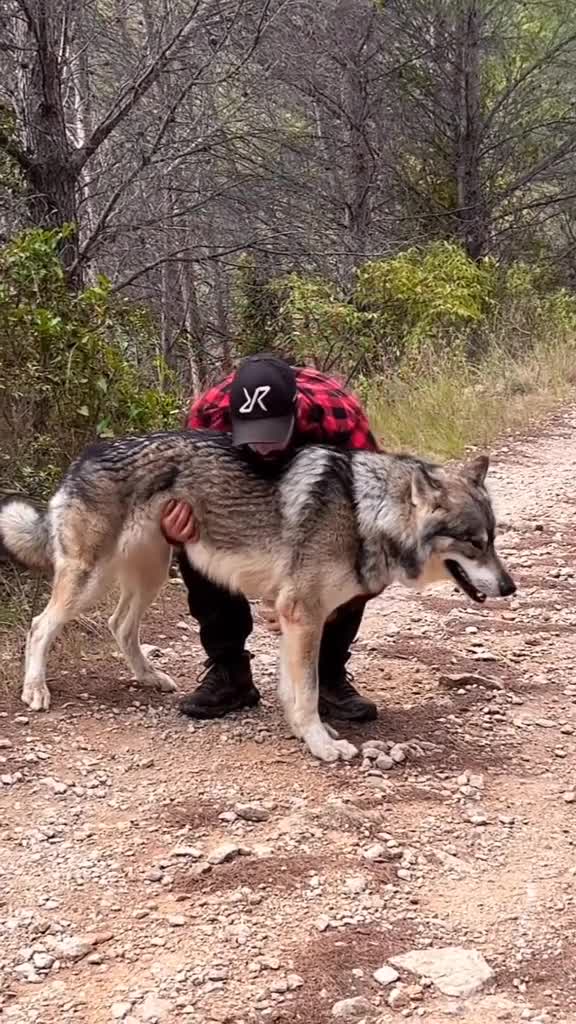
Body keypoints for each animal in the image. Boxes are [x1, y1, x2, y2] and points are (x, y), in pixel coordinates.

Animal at [0, 430, 515, 763]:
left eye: (493, 539)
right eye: (474, 543)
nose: (511, 587)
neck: (365, 511)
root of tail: (83, 456)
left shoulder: (301, 618)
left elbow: (297, 689)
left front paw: (308, 733)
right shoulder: (303, 614)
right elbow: (306, 692)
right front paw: (323, 746)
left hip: (147, 574)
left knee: (119, 625)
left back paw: (151, 678)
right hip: (92, 580)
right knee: (41, 626)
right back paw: (36, 690)